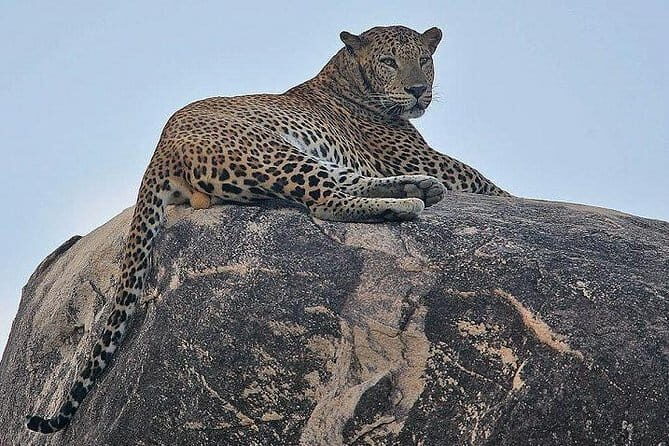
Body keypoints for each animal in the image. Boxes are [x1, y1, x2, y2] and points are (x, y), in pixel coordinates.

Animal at [26, 24, 509, 434]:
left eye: (424, 60)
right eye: (390, 61)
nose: (418, 90)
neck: (346, 77)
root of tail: (160, 150)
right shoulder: (435, 162)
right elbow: (490, 184)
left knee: (345, 182)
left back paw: (418, 189)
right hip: (276, 152)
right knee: (326, 201)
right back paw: (408, 201)